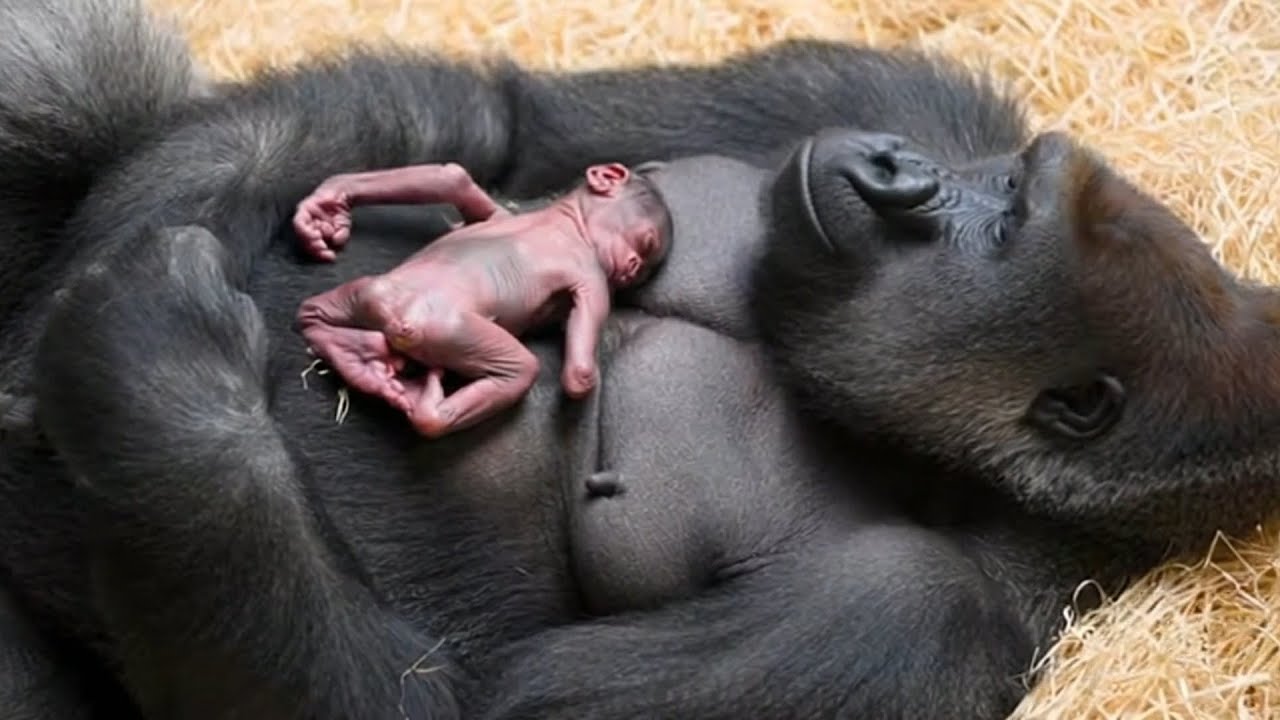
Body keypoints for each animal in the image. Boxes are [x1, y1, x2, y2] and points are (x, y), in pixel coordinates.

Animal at [293, 161, 672, 438]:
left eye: (643, 264)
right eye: (647, 244)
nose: (632, 269)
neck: (570, 222)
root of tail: (397, 317)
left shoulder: (493, 214)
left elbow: (451, 177)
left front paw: (325, 203)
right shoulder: (593, 276)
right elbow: (578, 374)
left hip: (368, 293)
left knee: (310, 314)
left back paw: (354, 356)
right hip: (452, 331)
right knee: (520, 369)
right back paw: (427, 407)